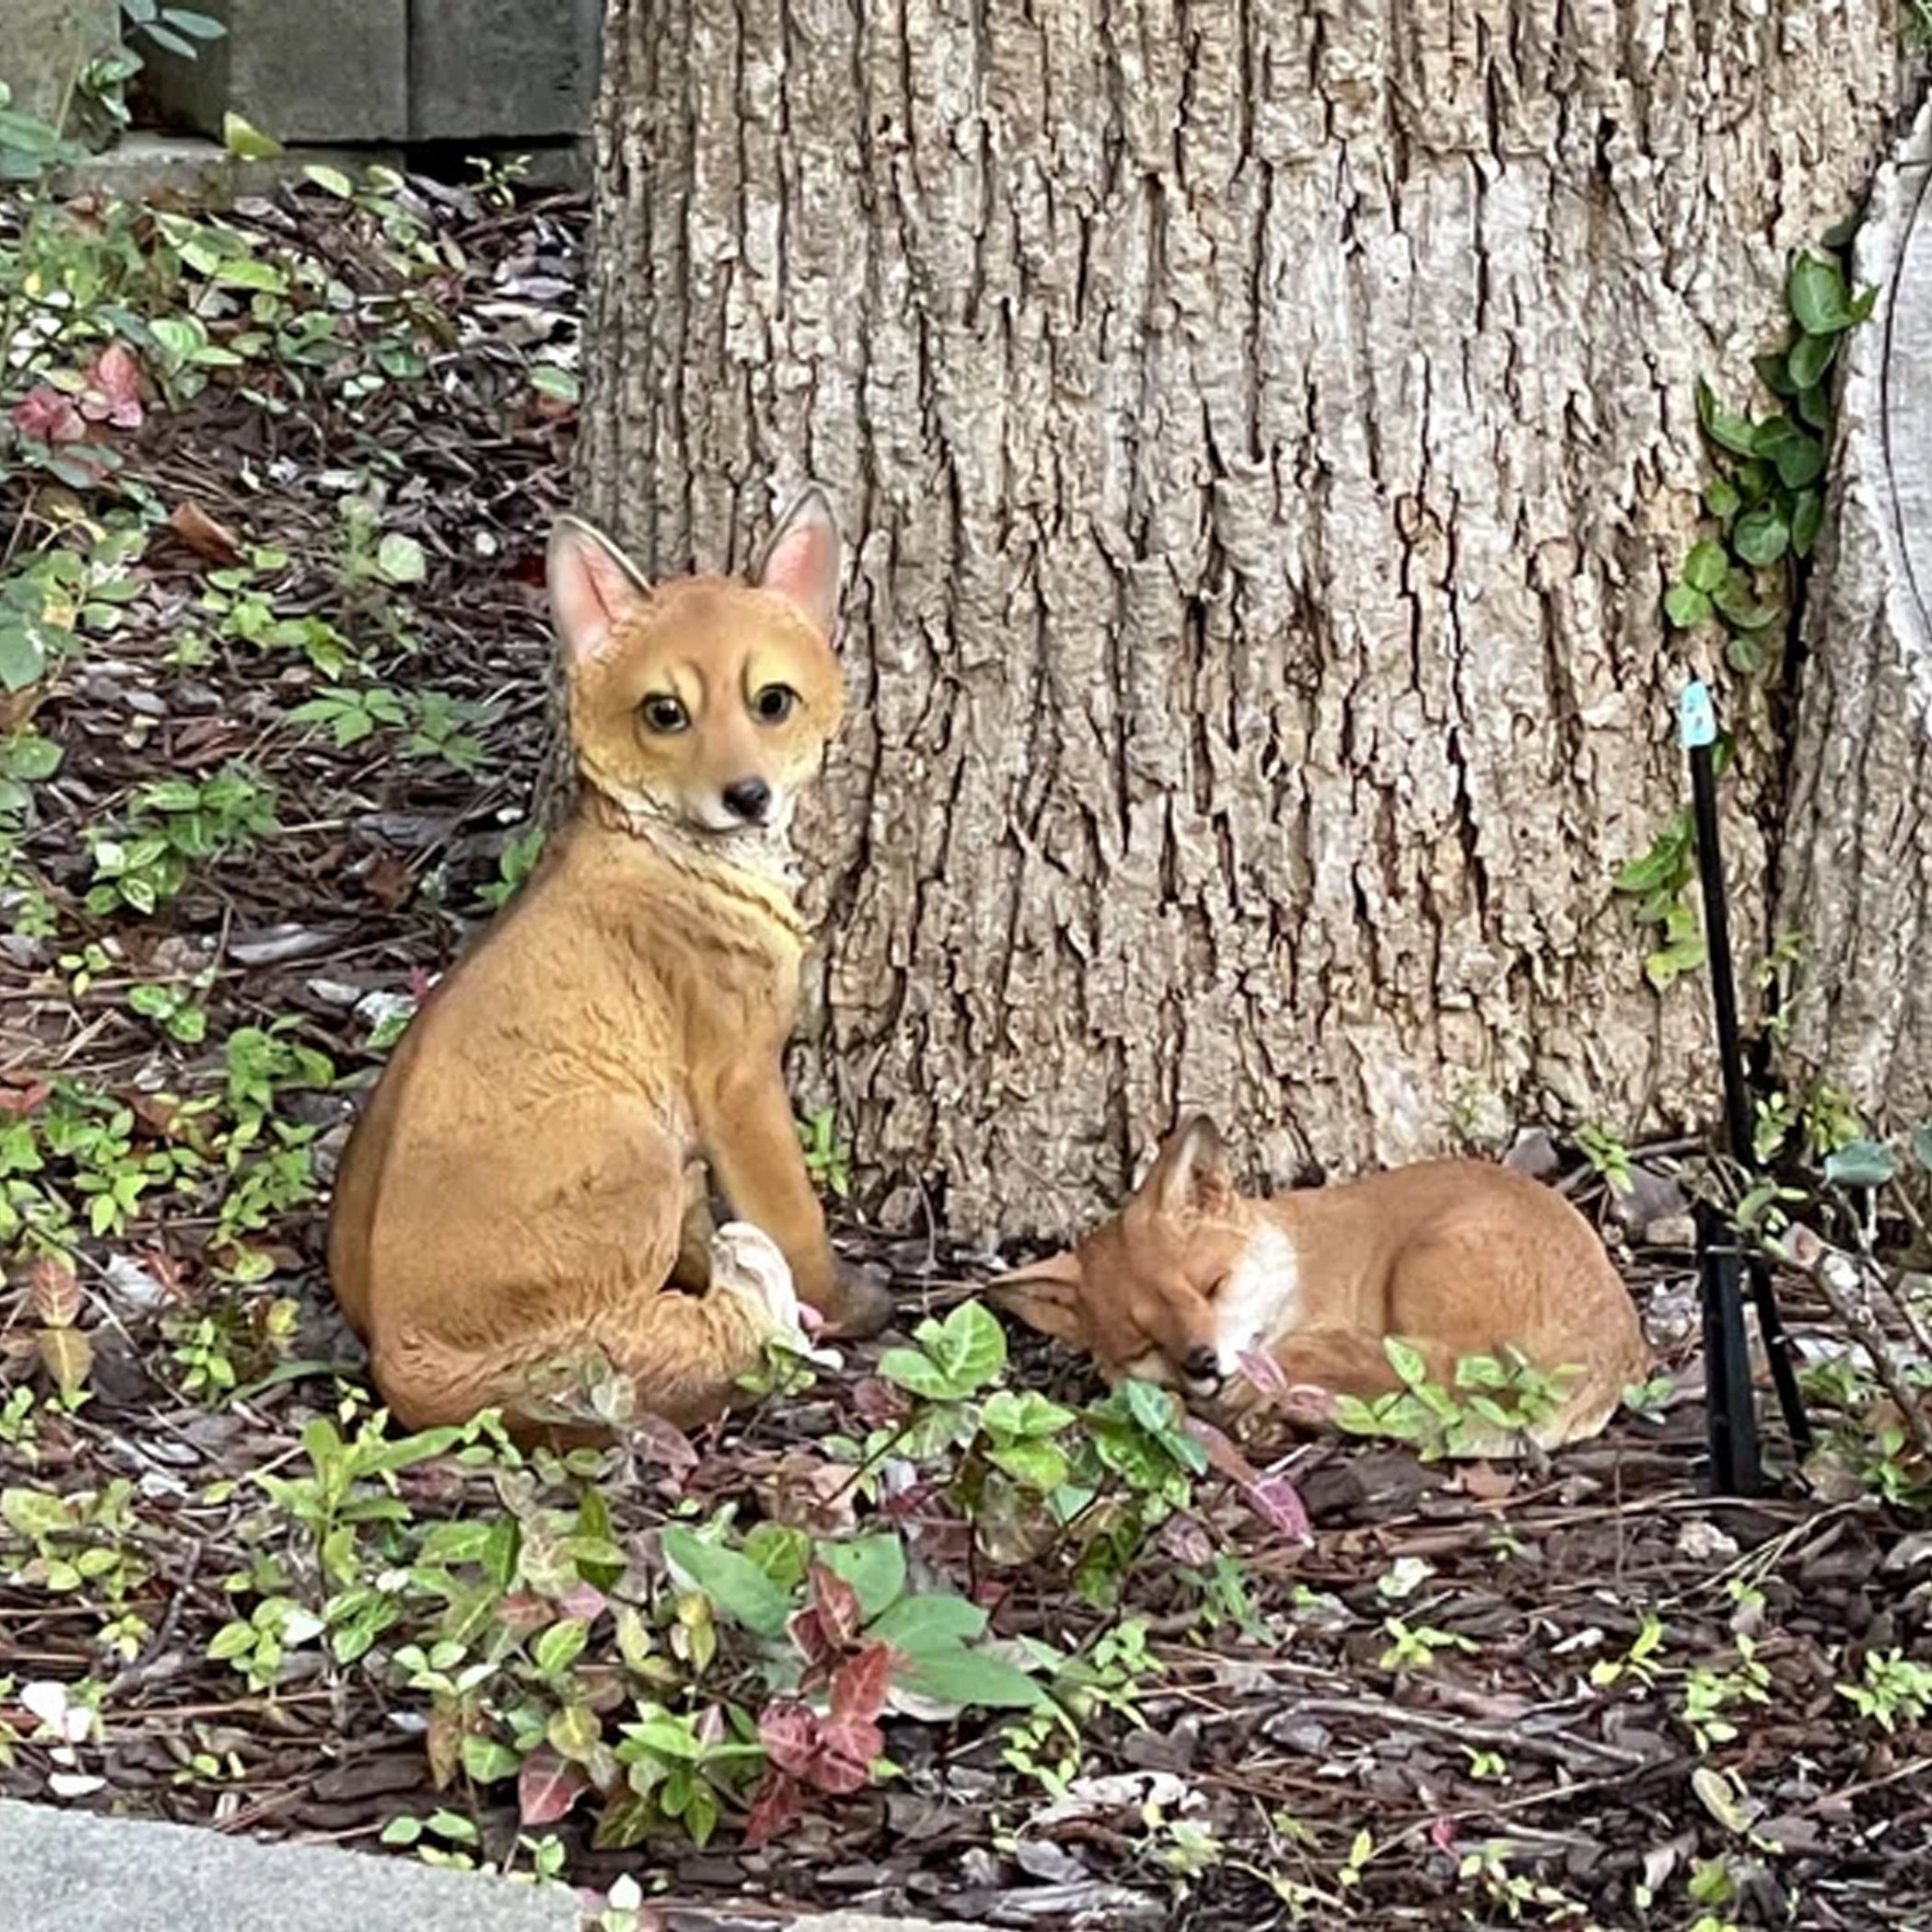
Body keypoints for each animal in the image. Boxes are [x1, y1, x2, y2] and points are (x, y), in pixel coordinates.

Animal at [326, 483, 893, 1437]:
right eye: (666, 713)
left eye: (772, 701)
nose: (748, 795)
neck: (675, 856)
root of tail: (398, 1363)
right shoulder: (736, 1075)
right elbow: (794, 1215)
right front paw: (842, 1303)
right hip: (633, 1145)